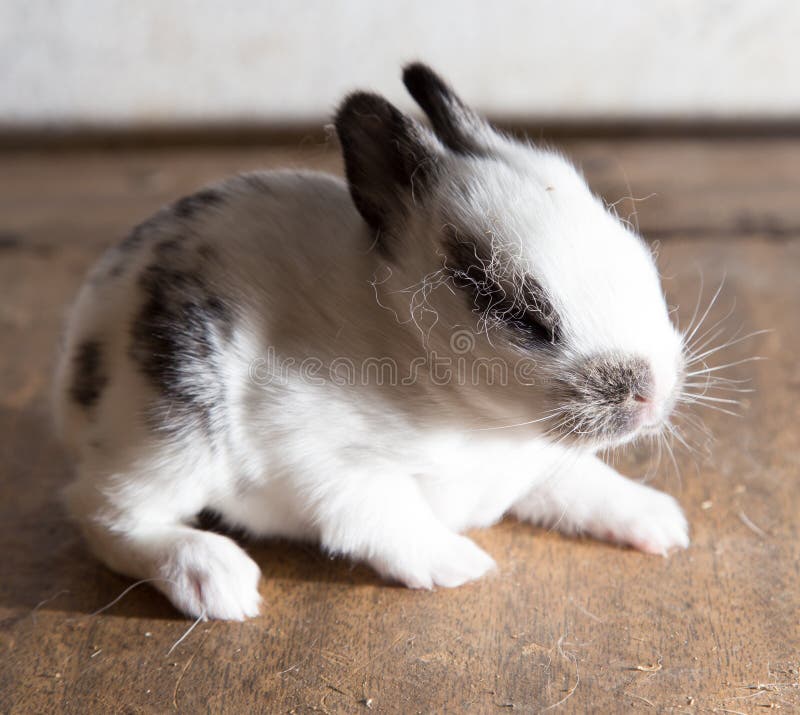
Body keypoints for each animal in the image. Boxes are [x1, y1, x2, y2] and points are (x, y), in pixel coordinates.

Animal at [54, 63, 689, 621]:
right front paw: (458, 563)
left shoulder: (544, 468)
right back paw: (217, 582)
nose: (650, 394)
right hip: (171, 431)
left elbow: (585, 486)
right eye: (517, 312)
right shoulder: (331, 465)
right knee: (104, 513)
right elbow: (386, 520)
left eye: (633, 248)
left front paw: (661, 522)